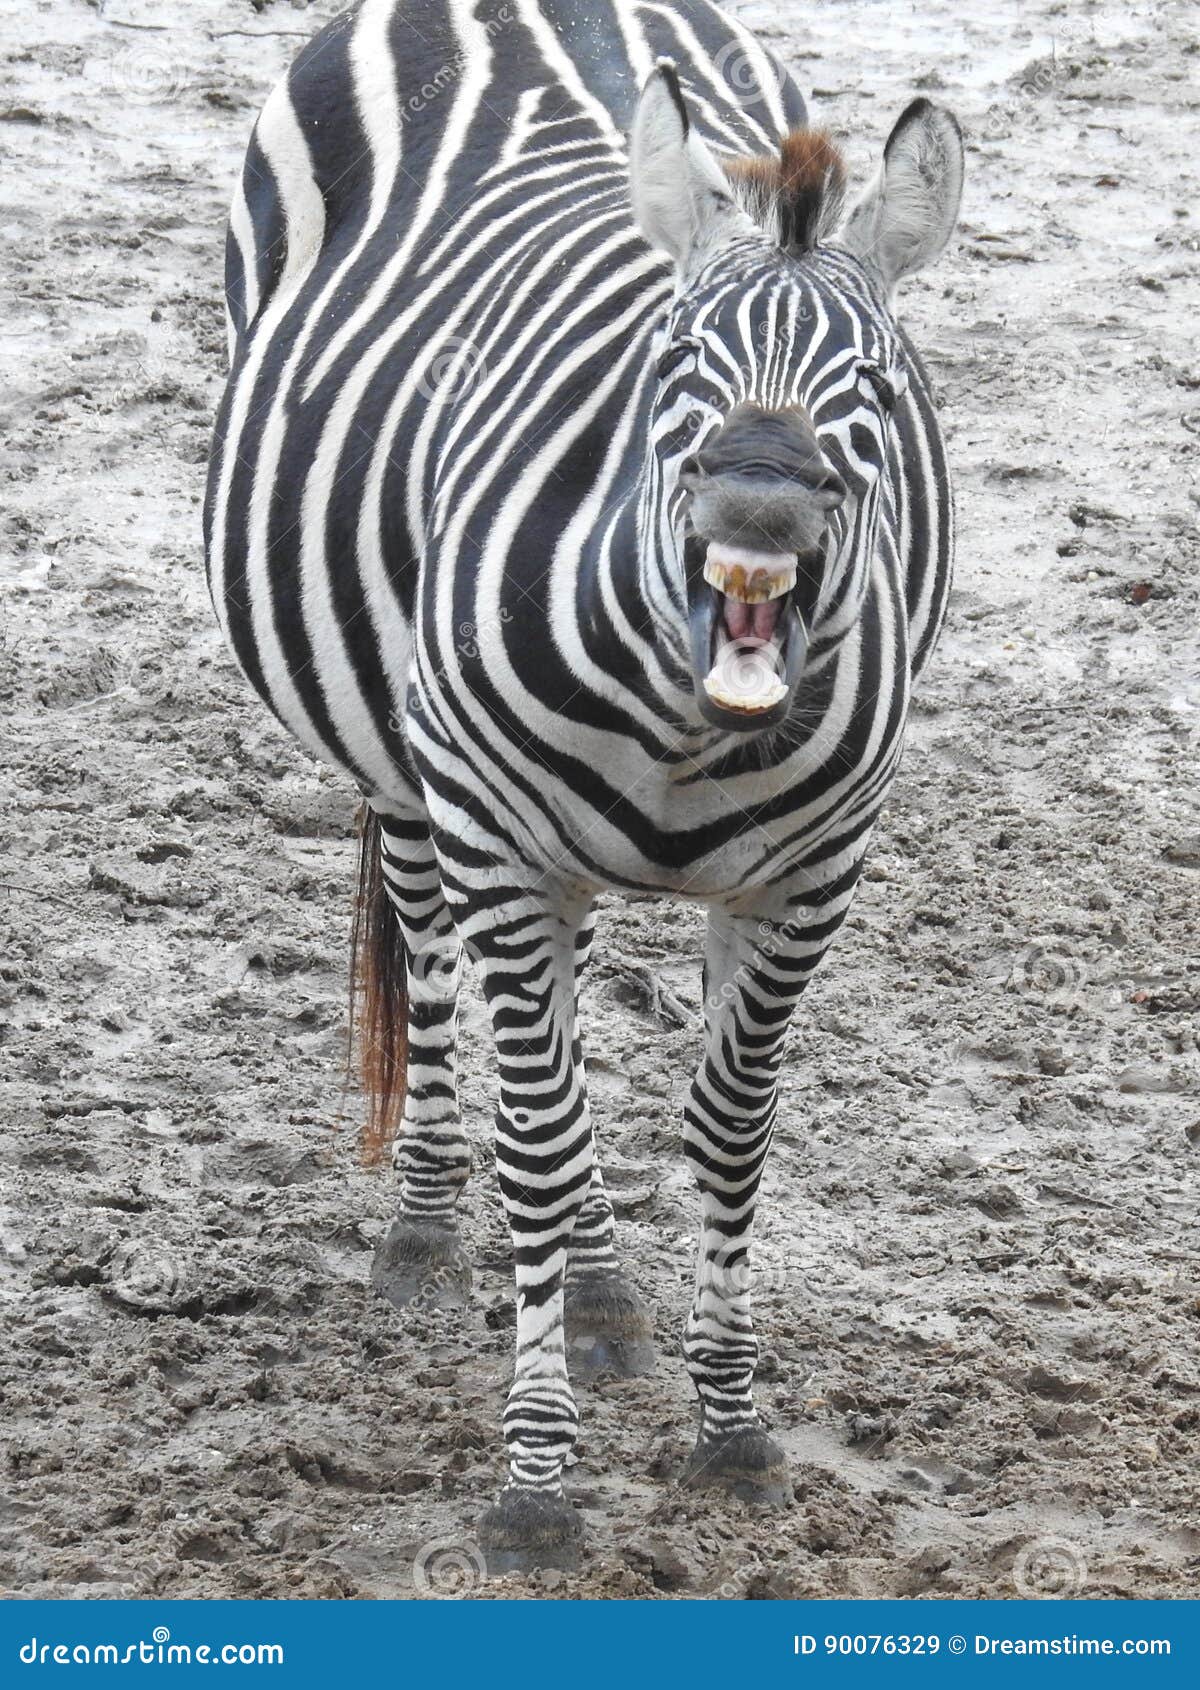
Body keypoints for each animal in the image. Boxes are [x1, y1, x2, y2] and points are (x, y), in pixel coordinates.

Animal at [205, 0, 963, 1573]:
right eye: (674, 363)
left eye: (874, 386)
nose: (759, 503)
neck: (690, 727)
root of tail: (517, 8)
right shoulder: (497, 834)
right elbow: (542, 1144)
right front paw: (537, 1482)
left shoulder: (813, 879)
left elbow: (728, 1139)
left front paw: (733, 1425)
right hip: (421, 768)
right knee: (445, 968)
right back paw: (430, 1216)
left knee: (558, 1008)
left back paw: (608, 1284)